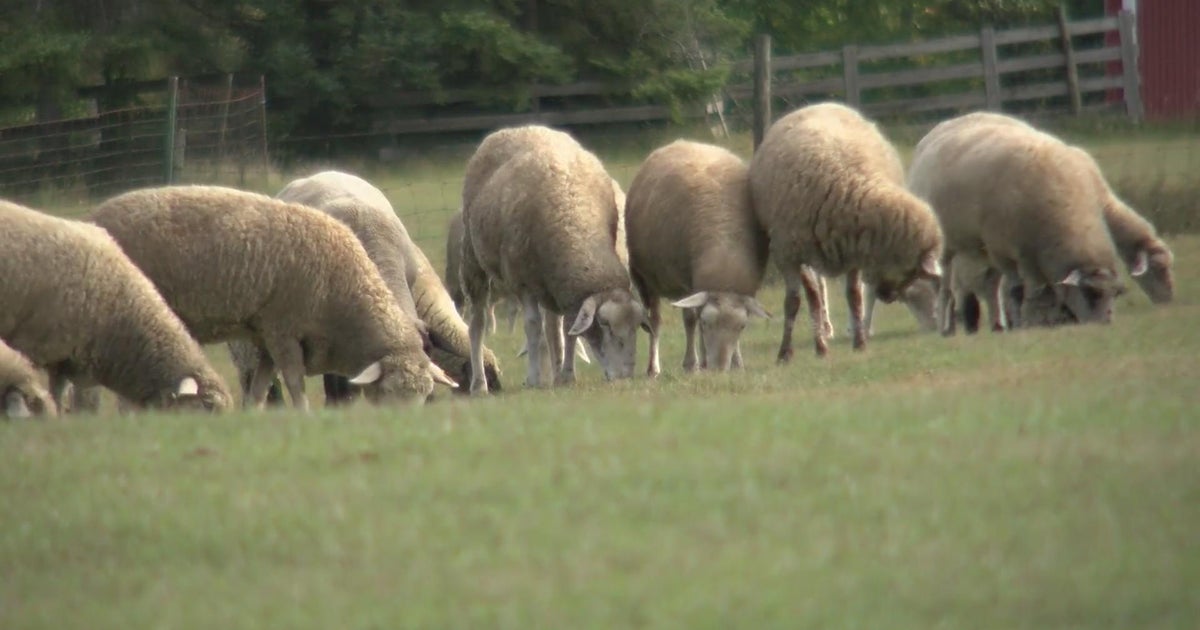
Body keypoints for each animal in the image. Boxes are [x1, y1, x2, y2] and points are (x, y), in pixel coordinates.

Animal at [89, 185, 456, 411]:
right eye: (389, 393)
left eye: (426, 396)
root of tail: (93, 218)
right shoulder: (283, 329)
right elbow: (294, 383)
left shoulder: (264, 335)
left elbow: (260, 387)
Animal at [460, 125, 646, 392]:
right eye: (605, 325)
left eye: (636, 327)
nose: (625, 376)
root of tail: (519, 128)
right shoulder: (523, 283)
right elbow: (532, 326)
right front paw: (534, 378)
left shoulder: (568, 288)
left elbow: (569, 329)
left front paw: (567, 375)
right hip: (473, 261)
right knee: (477, 324)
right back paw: (479, 384)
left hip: (550, 283)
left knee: (554, 327)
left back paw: (557, 372)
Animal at [624, 139, 771, 376]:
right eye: (706, 324)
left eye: (741, 327)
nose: (719, 368)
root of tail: (682, 142)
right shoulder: (684, 279)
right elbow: (690, 319)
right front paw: (692, 364)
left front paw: (737, 363)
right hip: (647, 279)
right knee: (655, 320)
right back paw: (654, 368)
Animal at [749, 102, 944, 359]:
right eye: (912, 270)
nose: (887, 297)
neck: (850, 189)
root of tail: (820, 104)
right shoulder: (787, 253)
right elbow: (794, 302)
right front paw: (786, 352)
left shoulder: (852, 248)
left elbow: (854, 296)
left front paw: (859, 342)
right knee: (813, 295)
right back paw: (820, 341)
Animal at [907, 113, 1124, 330]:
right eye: (1092, 293)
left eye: (1115, 294)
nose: (1104, 323)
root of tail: (936, 131)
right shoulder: (1005, 249)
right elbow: (1018, 290)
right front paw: (1024, 323)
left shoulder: (1027, 254)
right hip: (947, 245)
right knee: (943, 286)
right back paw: (947, 327)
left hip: (980, 248)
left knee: (989, 285)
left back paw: (997, 325)